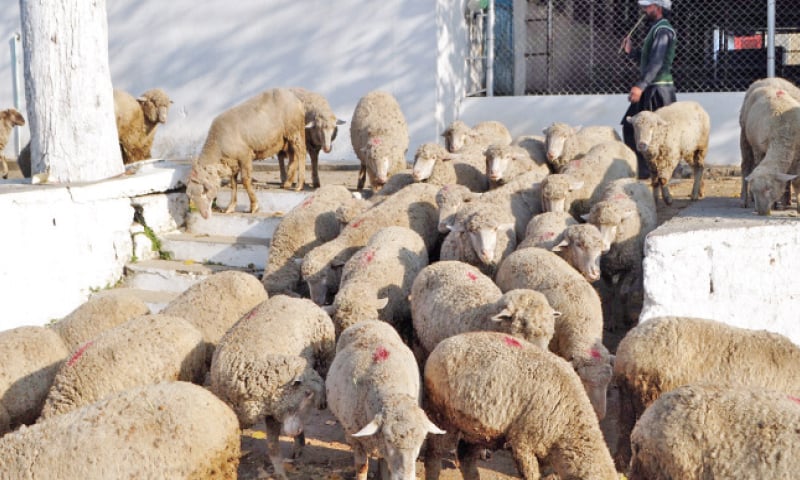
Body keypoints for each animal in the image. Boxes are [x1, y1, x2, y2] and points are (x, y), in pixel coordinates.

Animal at [186, 87, 307, 218]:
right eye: (191, 197)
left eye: (204, 191)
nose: (205, 215)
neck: (217, 146)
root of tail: (294, 98)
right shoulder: (232, 162)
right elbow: (233, 184)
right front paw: (230, 208)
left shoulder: (244, 155)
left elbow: (245, 181)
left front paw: (254, 206)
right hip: (286, 137)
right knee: (293, 156)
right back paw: (288, 183)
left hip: (293, 129)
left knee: (301, 152)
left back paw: (299, 185)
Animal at [209, 295, 335, 480]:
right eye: (306, 393)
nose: (296, 431)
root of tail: (302, 299)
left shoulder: (273, 411)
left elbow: (273, 448)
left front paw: (280, 473)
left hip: (325, 359)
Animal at [326, 320, 445, 480]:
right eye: (388, 439)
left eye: (421, 440)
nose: (405, 478)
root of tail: (370, 321)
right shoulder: (356, 439)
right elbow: (362, 466)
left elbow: (384, 465)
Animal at [423, 331, 618, 480]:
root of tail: (443, 344)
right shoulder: (523, 443)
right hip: (443, 416)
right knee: (434, 454)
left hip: (476, 427)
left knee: (466, 459)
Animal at [739, 77, 800, 209]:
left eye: (769, 188)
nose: (761, 209)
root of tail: (767, 79)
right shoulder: (758, 148)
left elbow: (796, 179)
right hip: (744, 136)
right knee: (746, 166)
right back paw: (744, 200)